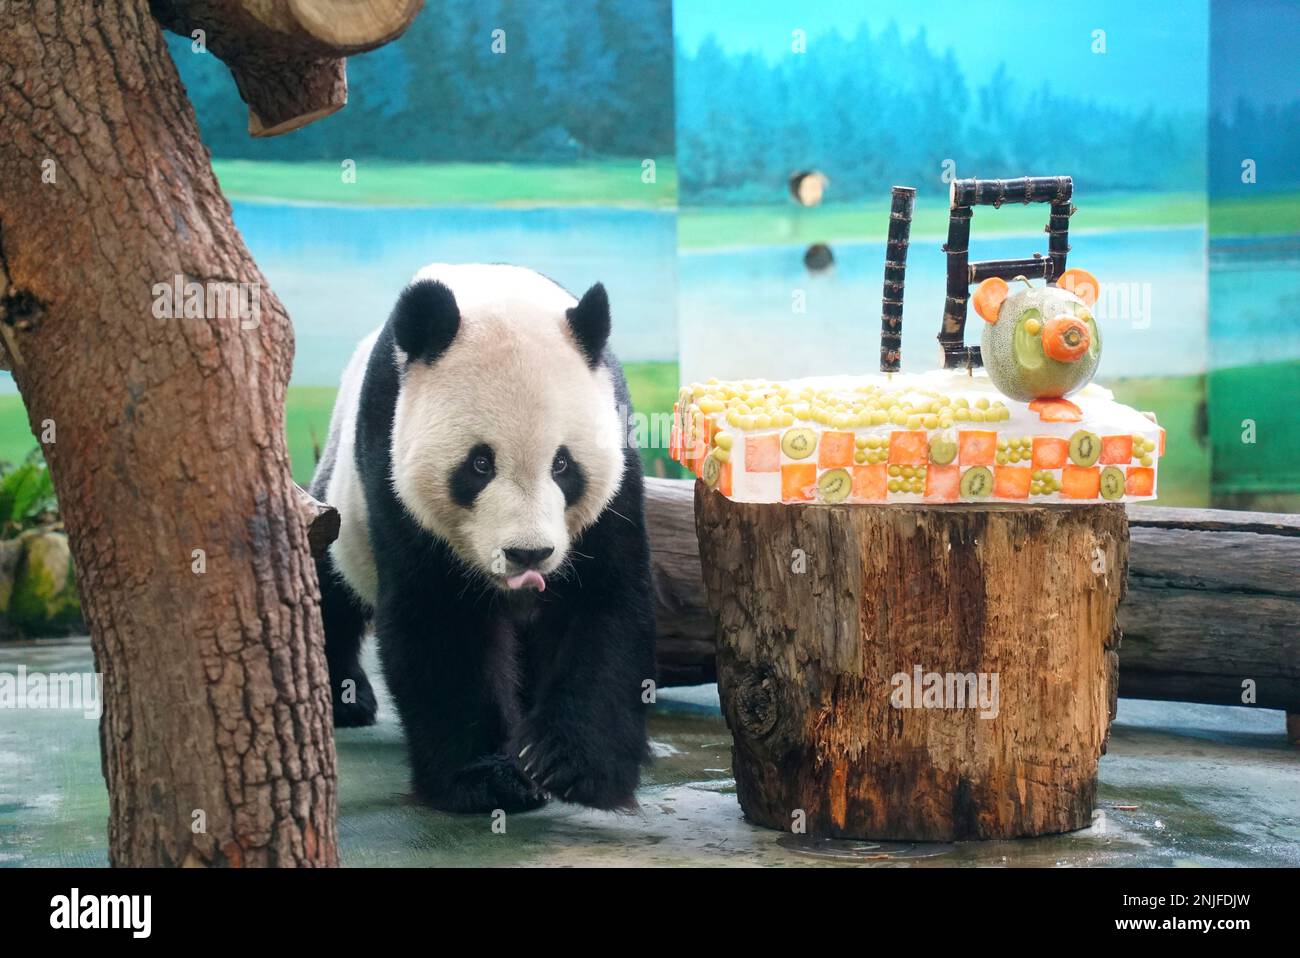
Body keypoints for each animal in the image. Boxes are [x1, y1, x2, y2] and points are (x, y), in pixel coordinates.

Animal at [309, 263, 656, 813]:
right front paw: (488, 777)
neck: (495, 292)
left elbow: (605, 602)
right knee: (330, 581)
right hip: (343, 500)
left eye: (563, 465)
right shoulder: (391, 471)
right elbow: (441, 620)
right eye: (479, 464)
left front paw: (568, 765)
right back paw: (348, 698)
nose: (529, 553)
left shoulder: (613, 477)